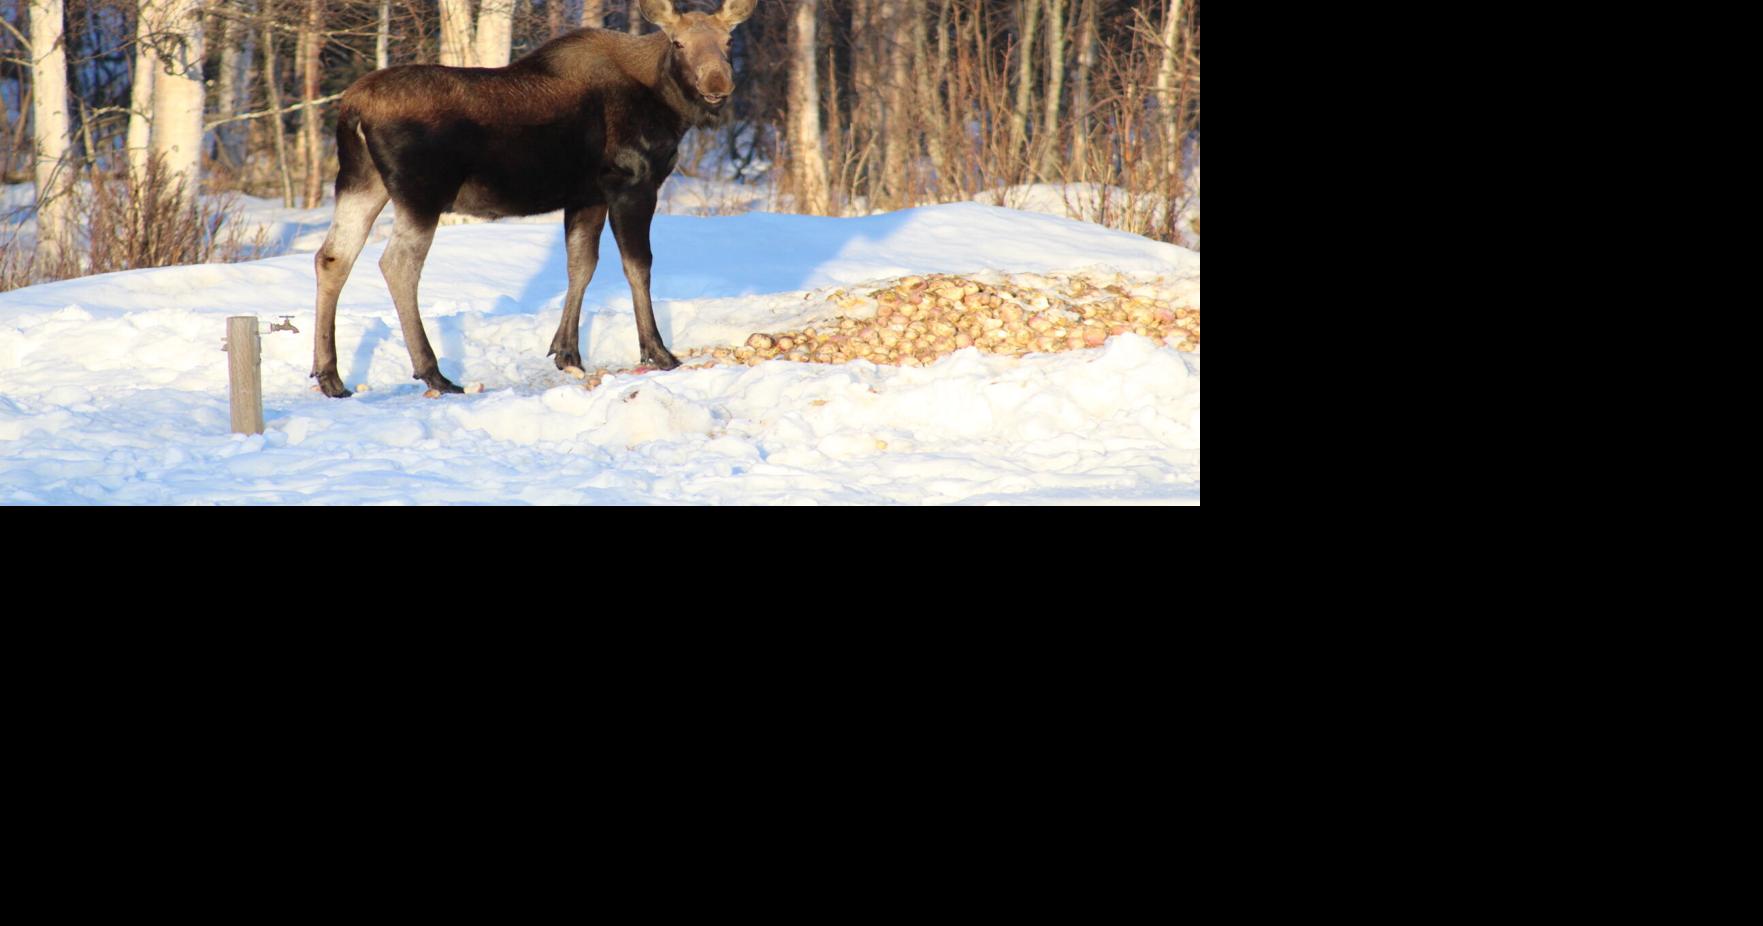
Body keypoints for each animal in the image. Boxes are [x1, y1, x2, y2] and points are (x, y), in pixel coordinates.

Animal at [308, 0, 757, 398]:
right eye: (678, 42)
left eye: (729, 40)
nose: (718, 84)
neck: (669, 109)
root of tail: (352, 109)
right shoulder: (632, 183)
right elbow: (637, 267)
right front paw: (658, 352)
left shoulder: (587, 196)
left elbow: (581, 266)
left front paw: (567, 352)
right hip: (421, 192)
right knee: (397, 265)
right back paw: (433, 372)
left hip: (361, 182)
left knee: (333, 256)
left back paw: (330, 377)